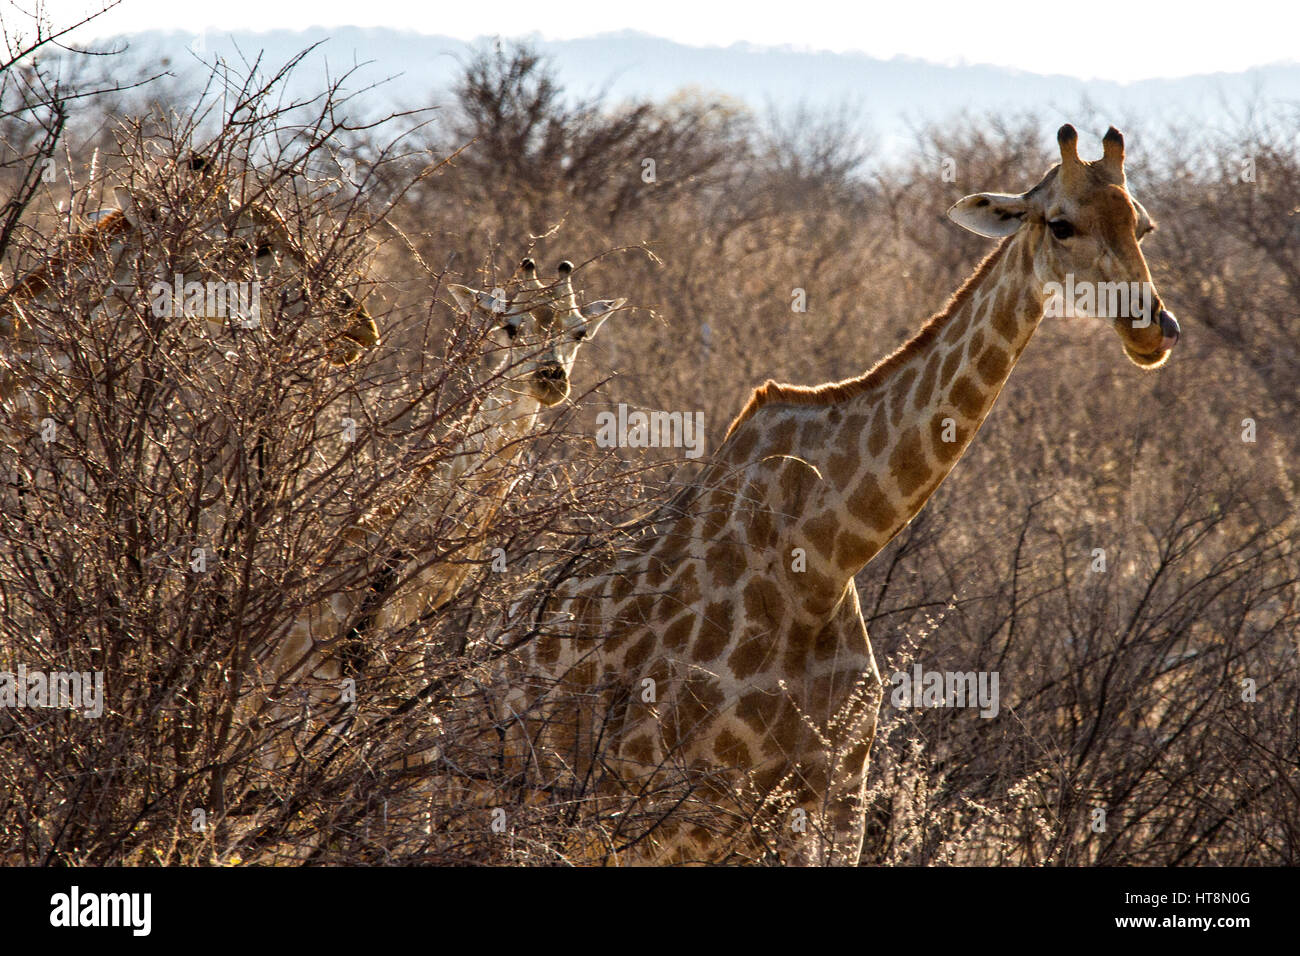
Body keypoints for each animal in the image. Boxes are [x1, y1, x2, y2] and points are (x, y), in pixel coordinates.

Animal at [496, 125, 1181, 864]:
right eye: (1060, 225)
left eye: (1142, 225)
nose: (1153, 329)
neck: (824, 555)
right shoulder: (684, 808)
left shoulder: (831, 804)